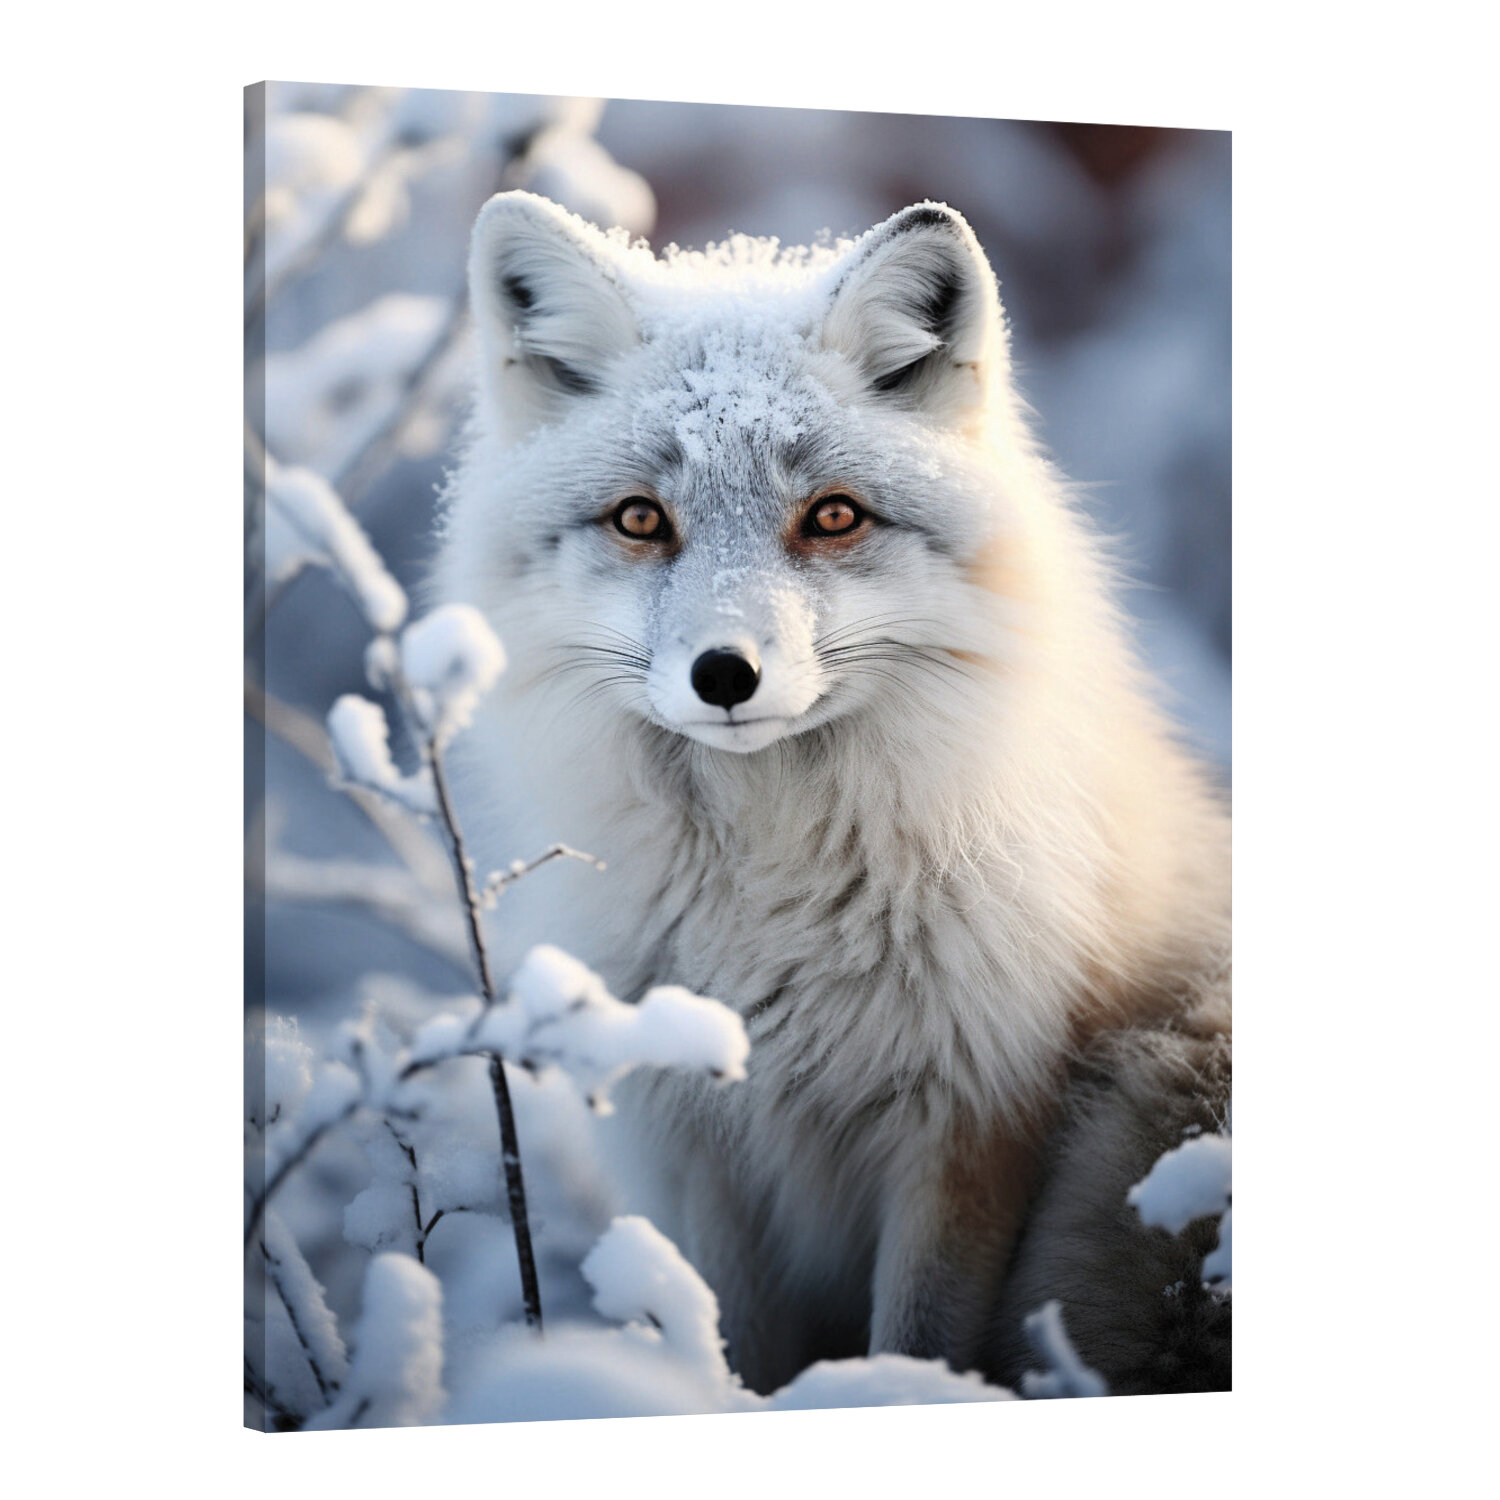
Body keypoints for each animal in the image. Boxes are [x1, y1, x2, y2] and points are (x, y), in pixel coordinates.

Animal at [434, 190, 1232, 1397]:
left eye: (834, 516)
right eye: (640, 520)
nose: (725, 675)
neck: (770, 920)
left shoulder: (967, 1130)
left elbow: (913, 1345)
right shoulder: (704, 1146)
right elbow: (736, 1351)